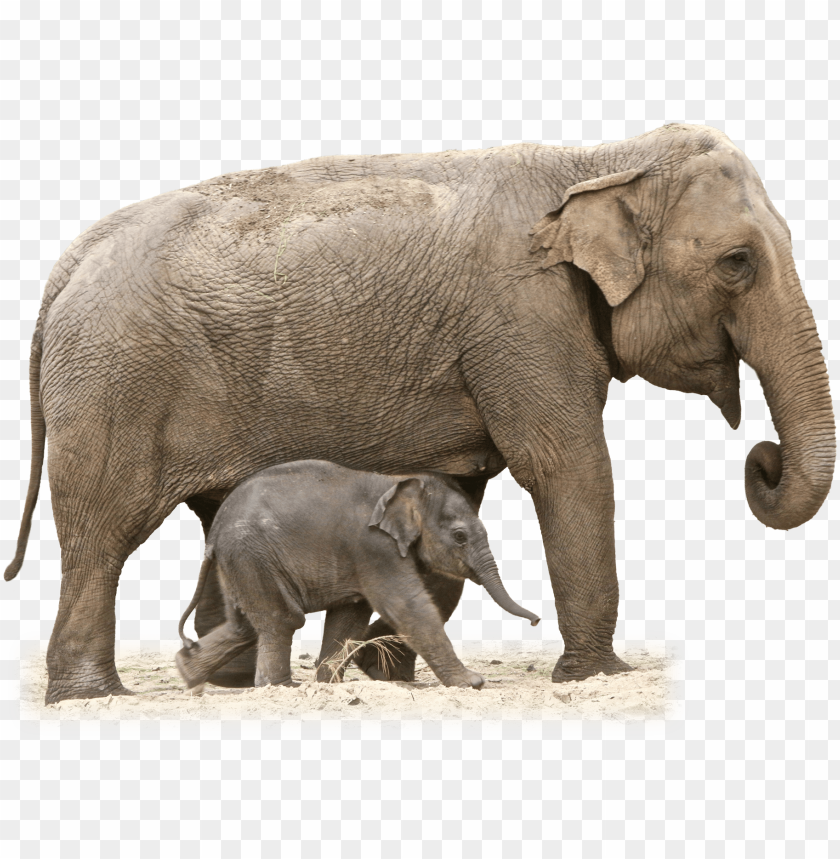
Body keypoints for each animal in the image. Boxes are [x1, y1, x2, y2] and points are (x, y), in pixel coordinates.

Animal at [174, 460, 540, 693]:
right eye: (460, 536)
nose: (537, 621)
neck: (401, 481)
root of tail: (214, 532)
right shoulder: (374, 548)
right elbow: (407, 606)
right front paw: (472, 683)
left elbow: (349, 617)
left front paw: (328, 685)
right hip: (251, 554)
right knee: (282, 619)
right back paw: (279, 688)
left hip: (240, 561)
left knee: (245, 625)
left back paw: (188, 675)